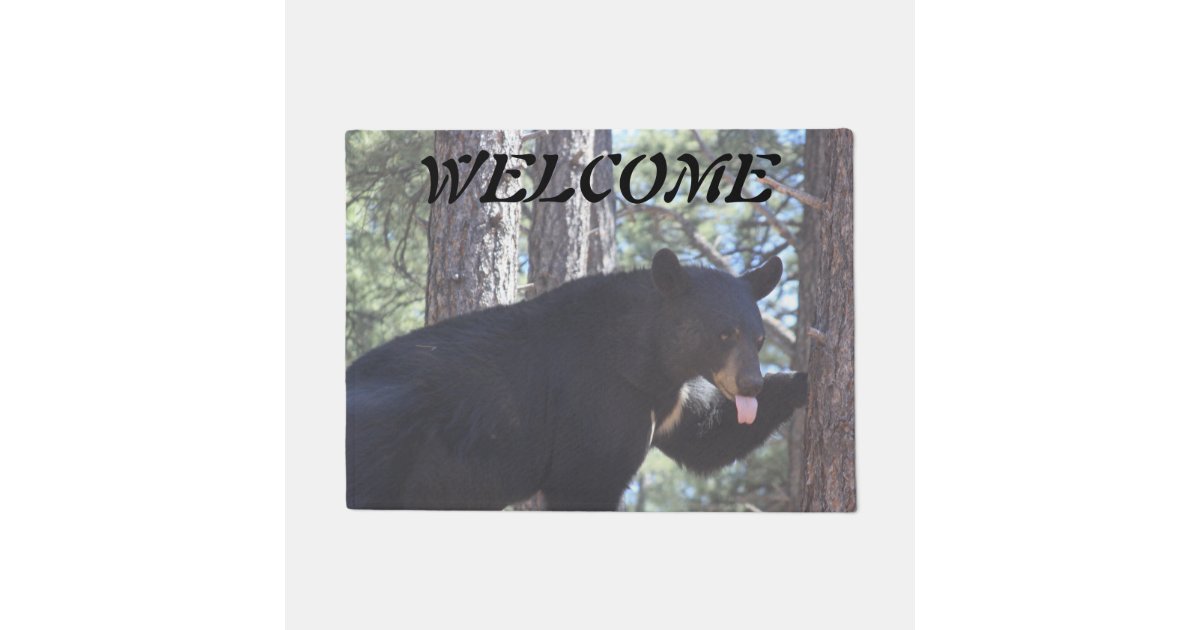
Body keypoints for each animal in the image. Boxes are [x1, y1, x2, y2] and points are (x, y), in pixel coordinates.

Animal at [346, 248, 808, 511]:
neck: (647, 358)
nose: (751, 385)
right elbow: (587, 479)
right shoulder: (598, 398)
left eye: (759, 338)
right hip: (382, 449)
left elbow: (705, 437)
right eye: (724, 334)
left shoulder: (667, 400)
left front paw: (801, 379)